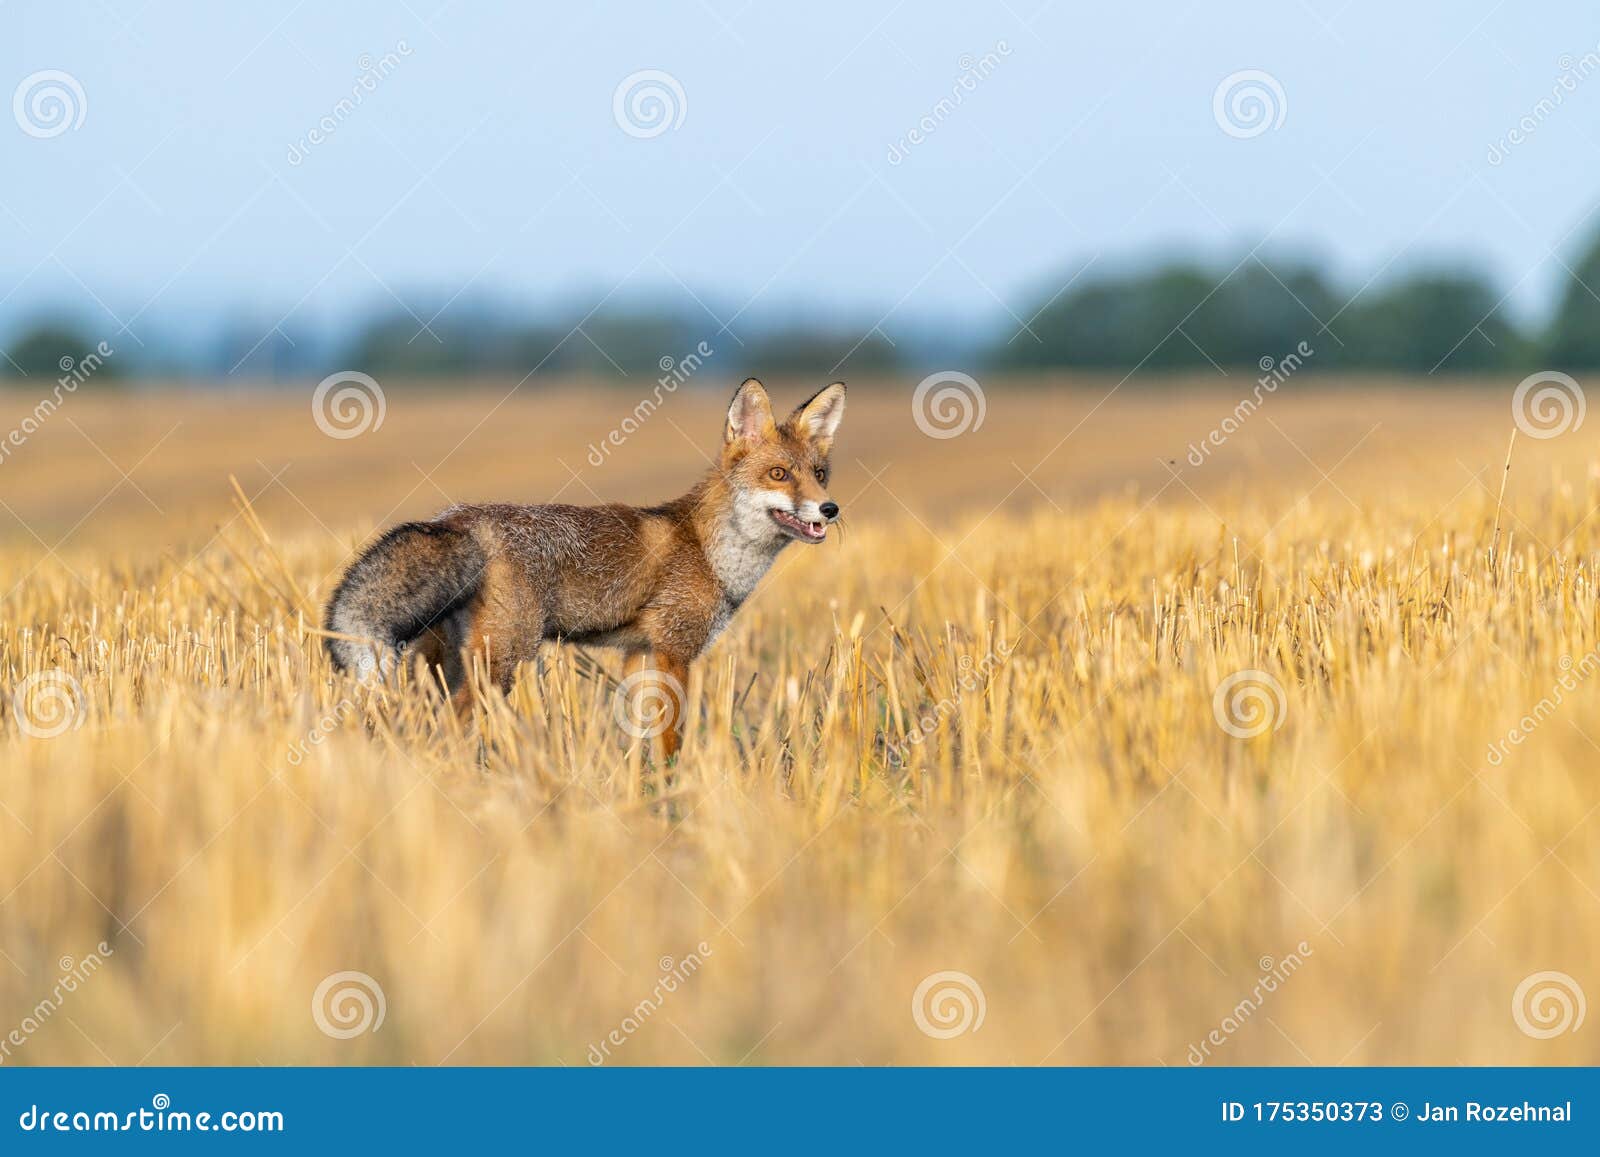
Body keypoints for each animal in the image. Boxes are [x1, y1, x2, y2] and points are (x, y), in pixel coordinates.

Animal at [322, 377, 846, 759]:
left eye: (819, 475)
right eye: (779, 474)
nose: (830, 509)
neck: (709, 549)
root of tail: (457, 519)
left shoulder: (638, 653)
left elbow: (638, 738)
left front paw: (639, 791)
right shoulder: (675, 650)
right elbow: (672, 741)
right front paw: (674, 793)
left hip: (439, 665)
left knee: (419, 719)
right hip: (501, 664)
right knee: (449, 724)